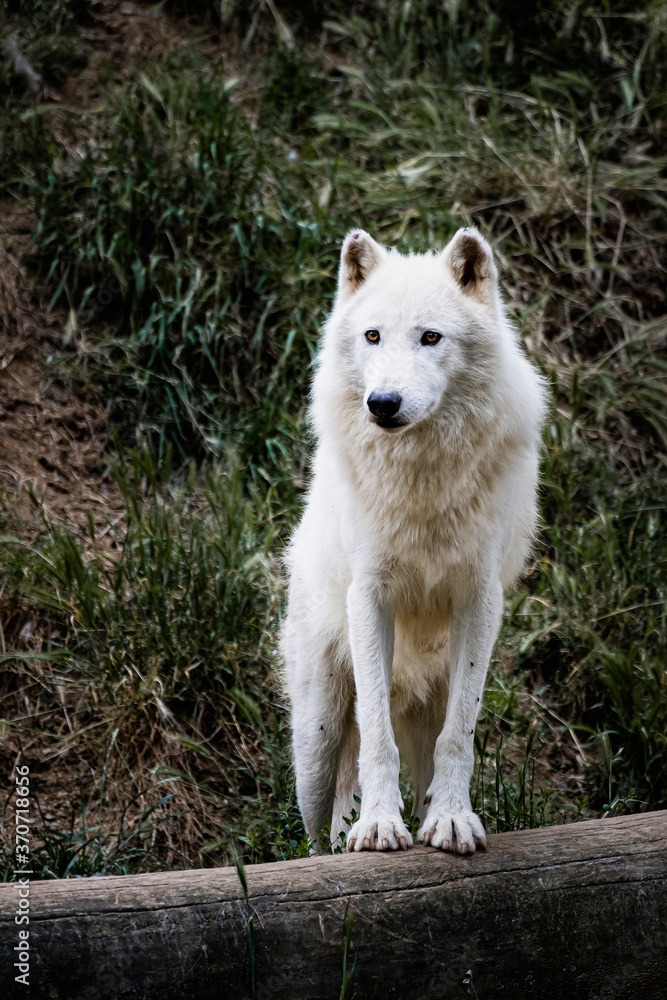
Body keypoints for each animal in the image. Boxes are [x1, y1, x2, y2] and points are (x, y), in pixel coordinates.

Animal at [281, 227, 546, 853]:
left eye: (430, 337)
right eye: (373, 335)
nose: (383, 403)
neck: (422, 478)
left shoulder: (479, 600)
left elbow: (461, 737)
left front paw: (450, 819)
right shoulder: (370, 598)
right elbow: (379, 736)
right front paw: (380, 825)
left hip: (430, 691)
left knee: (428, 750)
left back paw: (427, 816)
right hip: (316, 739)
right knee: (317, 829)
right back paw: (339, 846)